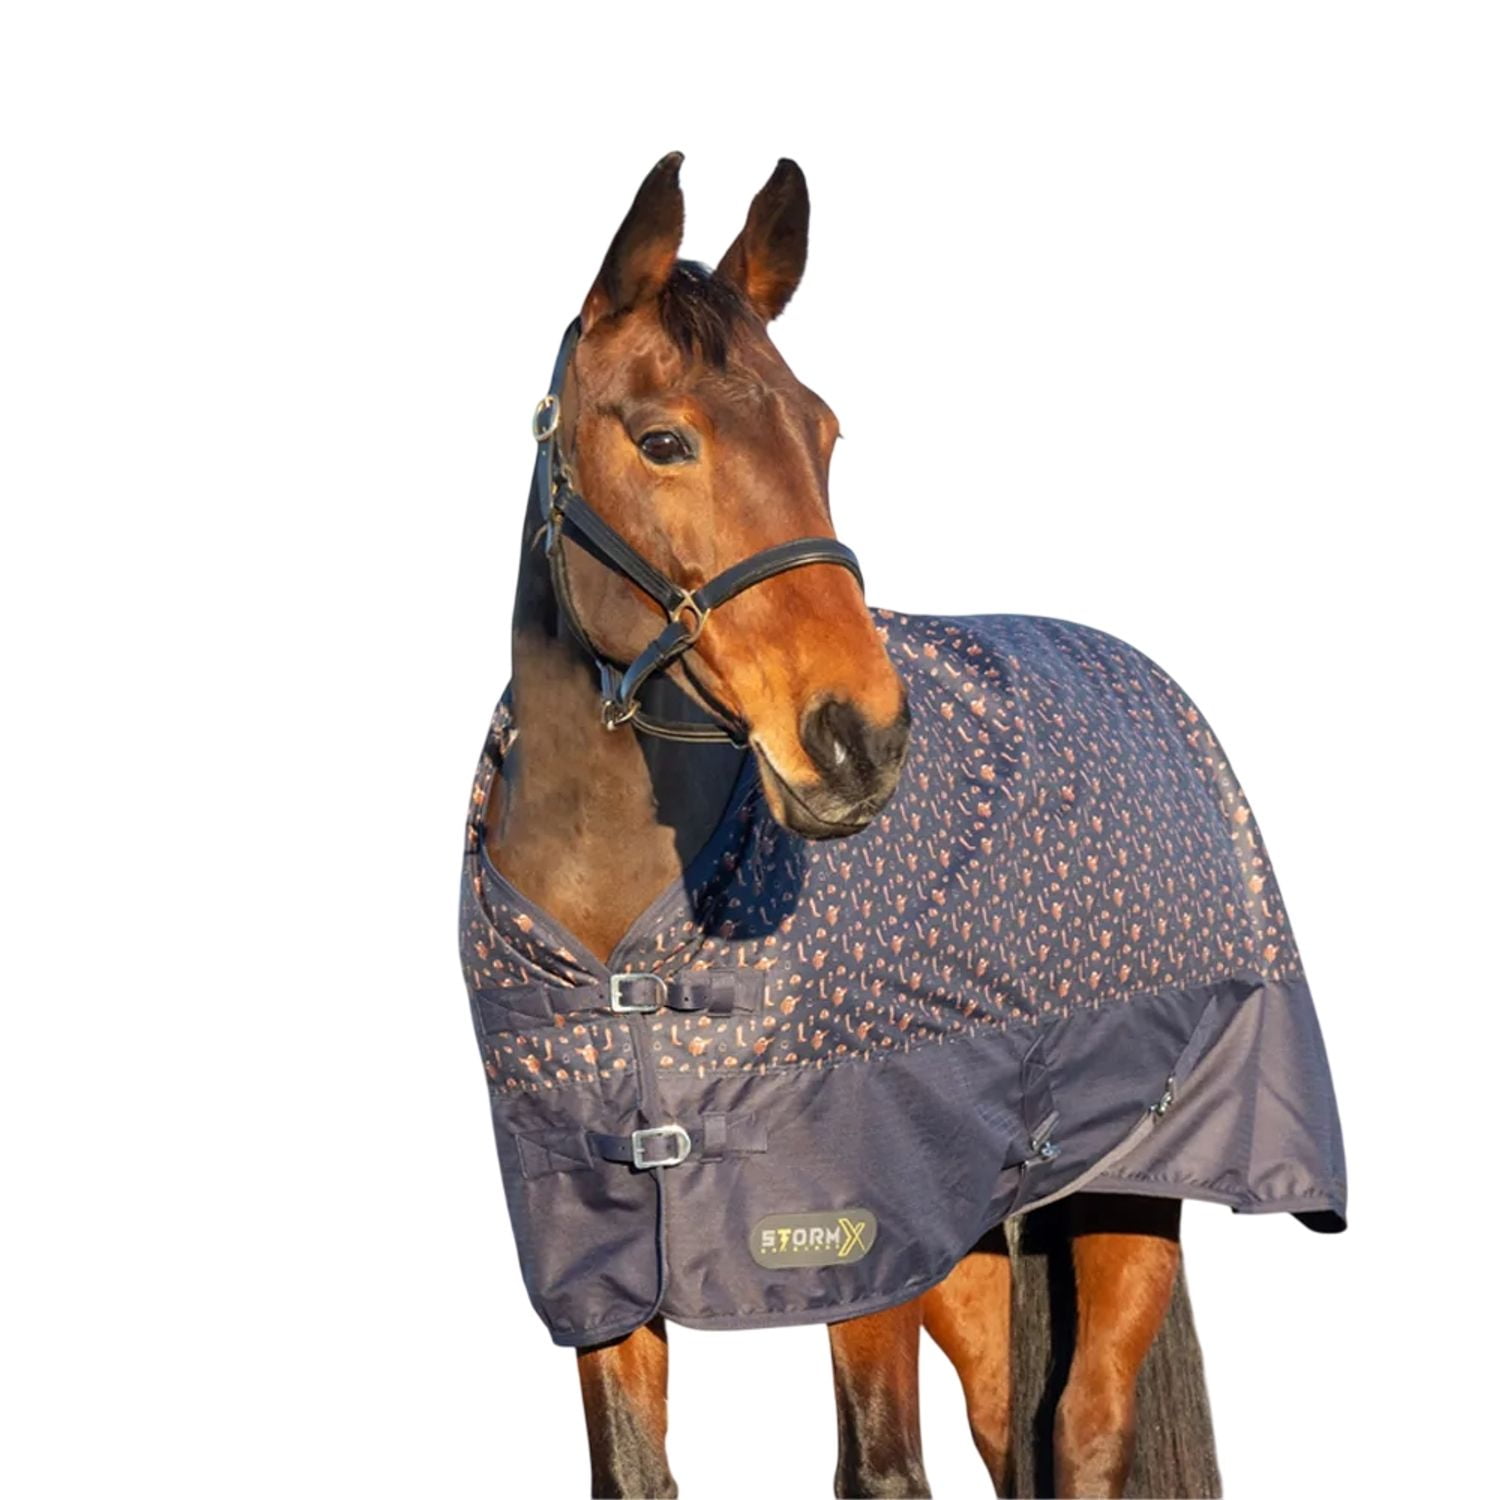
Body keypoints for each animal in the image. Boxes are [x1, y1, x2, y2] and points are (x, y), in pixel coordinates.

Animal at [463, 152, 1341, 1497]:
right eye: (664, 440)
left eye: (823, 431)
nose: (861, 739)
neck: (621, 938)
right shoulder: (603, 1272)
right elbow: (636, 1469)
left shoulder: (855, 1239)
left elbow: (878, 1465)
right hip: (973, 1237)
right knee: (1013, 1428)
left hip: (1130, 1198)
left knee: (1083, 1428)